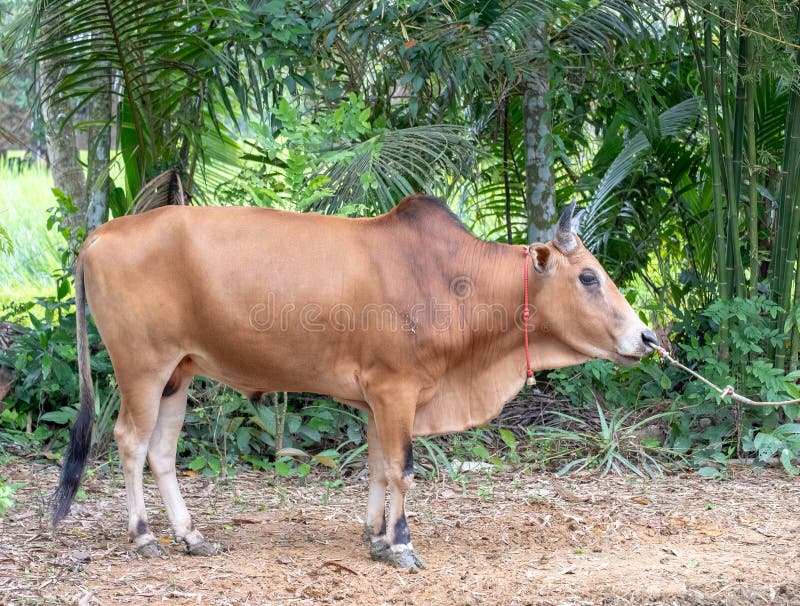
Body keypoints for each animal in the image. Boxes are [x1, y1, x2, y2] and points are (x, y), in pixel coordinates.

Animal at [52, 194, 658, 570]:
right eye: (588, 277)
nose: (648, 338)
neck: (451, 280)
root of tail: (99, 234)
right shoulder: (396, 390)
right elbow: (403, 470)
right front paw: (402, 545)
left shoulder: (375, 399)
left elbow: (377, 467)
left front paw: (376, 538)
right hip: (142, 367)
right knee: (130, 442)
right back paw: (144, 535)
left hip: (178, 373)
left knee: (161, 452)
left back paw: (191, 535)